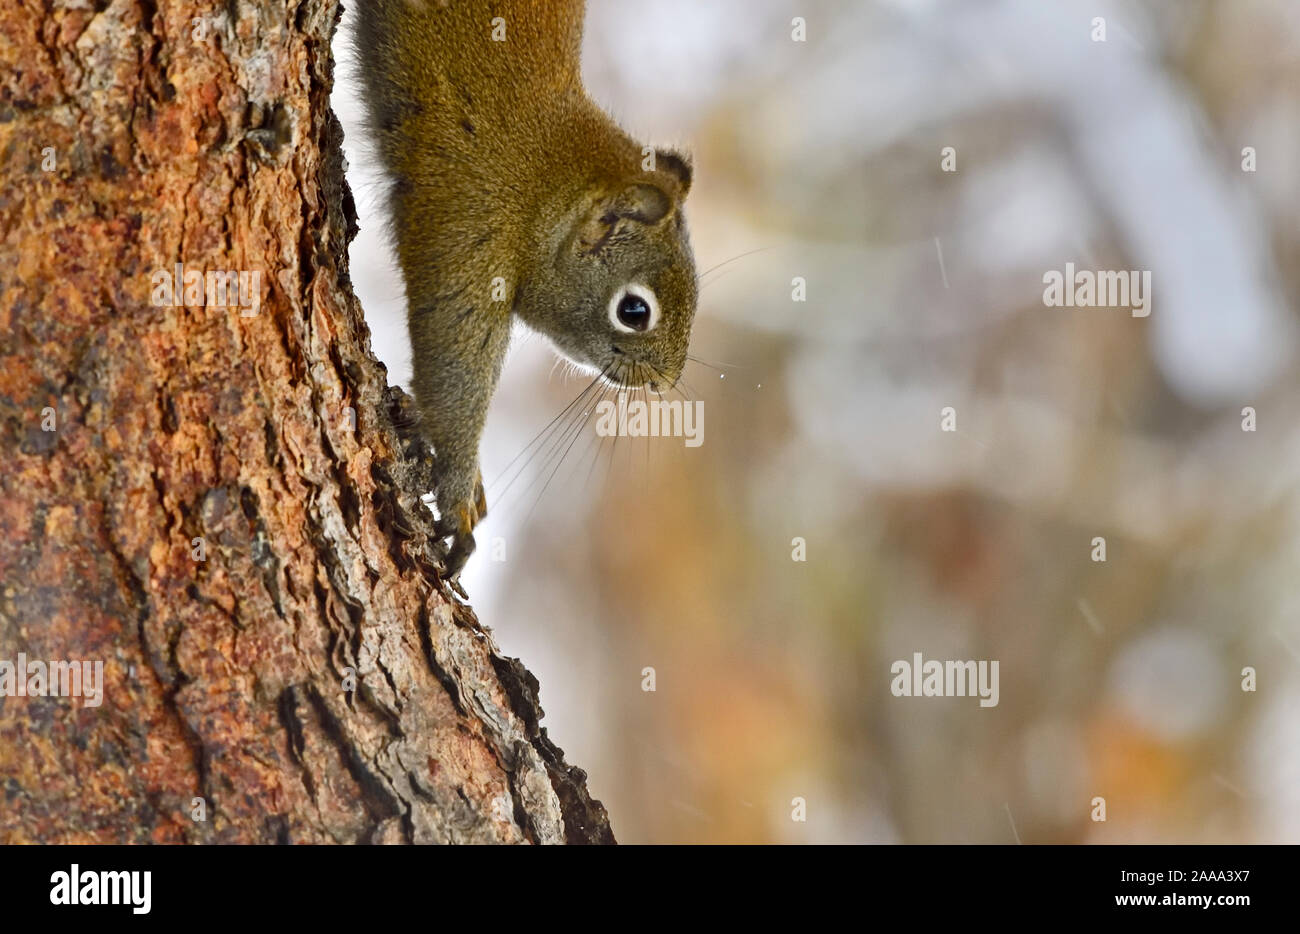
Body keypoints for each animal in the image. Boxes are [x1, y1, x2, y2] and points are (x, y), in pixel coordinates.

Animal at [353, 0, 698, 579]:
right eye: (634, 310)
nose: (662, 383)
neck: (546, 185)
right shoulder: (474, 219)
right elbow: (455, 356)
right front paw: (458, 495)